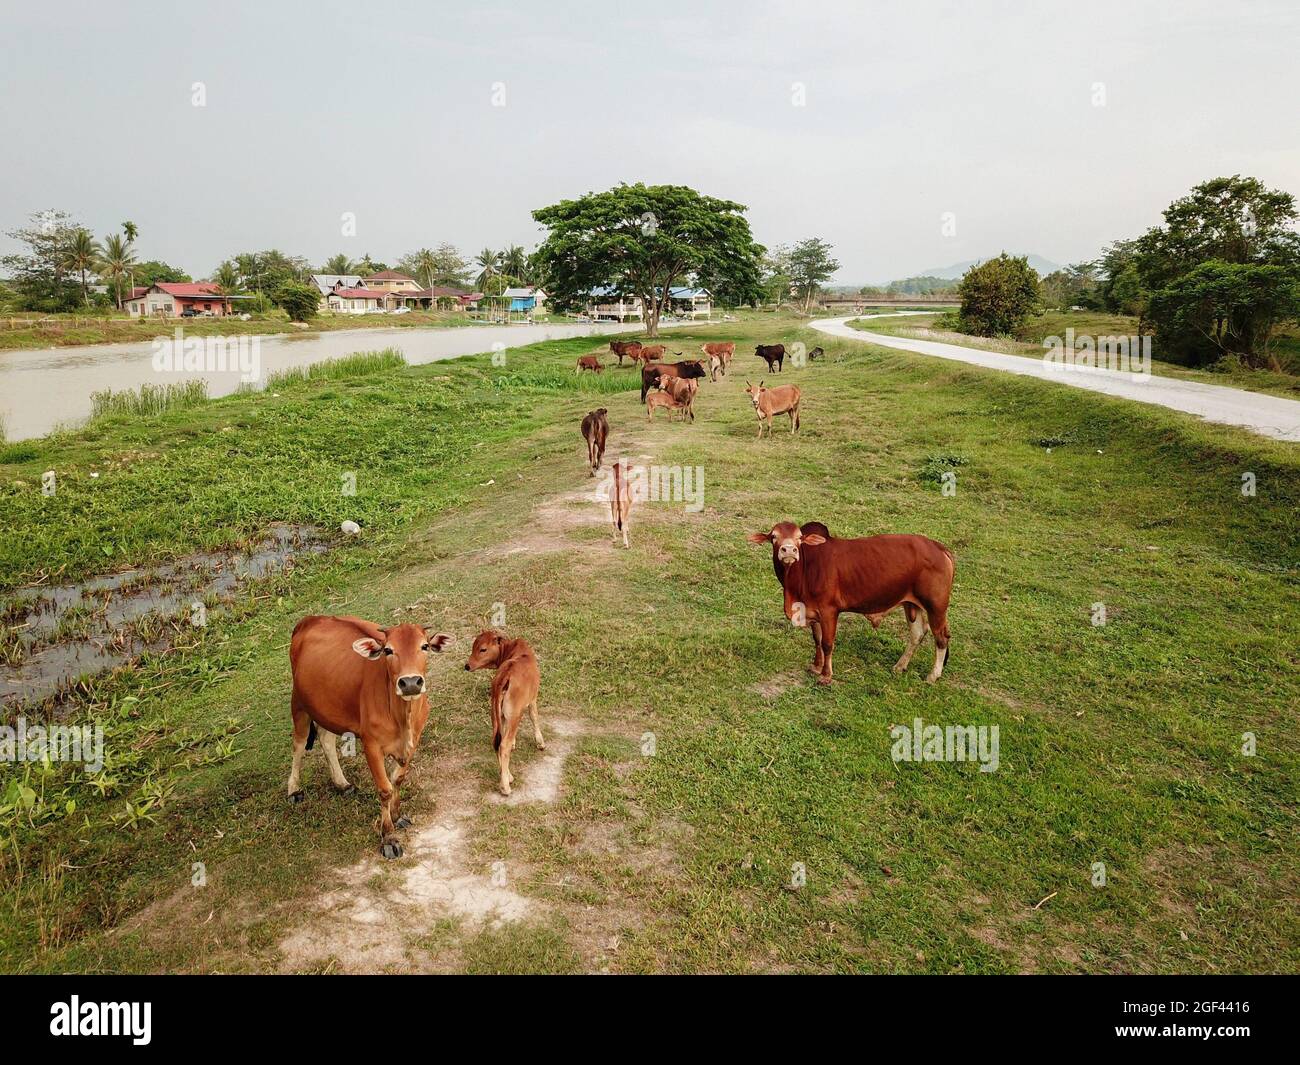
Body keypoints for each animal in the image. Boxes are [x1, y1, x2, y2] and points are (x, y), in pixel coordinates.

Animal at [288, 616, 453, 858]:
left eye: (424, 646)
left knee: (326, 739)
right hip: (299, 702)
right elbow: (384, 789)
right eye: (388, 650)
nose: (410, 682)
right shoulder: (371, 745)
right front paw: (389, 838)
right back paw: (293, 790)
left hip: (327, 707)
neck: (403, 718)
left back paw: (342, 784)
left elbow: (398, 779)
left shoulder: (414, 739)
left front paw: (397, 816)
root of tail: (311, 619)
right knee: (298, 745)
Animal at [464, 630, 543, 796]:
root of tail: (505, 676)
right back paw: (505, 786)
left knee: (497, 741)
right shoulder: (533, 699)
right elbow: (534, 717)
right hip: (515, 715)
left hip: (495, 714)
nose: (467, 665)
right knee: (503, 744)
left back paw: (507, 776)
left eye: (482, 649)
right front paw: (540, 742)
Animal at [748, 523, 954, 685]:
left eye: (800, 538)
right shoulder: (813, 611)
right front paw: (816, 666)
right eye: (774, 536)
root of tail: (939, 548)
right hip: (912, 604)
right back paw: (899, 666)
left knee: (941, 637)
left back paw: (933, 676)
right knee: (917, 633)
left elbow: (827, 643)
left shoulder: (829, 610)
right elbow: (817, 639)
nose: (789, 550)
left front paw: (826, 676)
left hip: (936, 606)